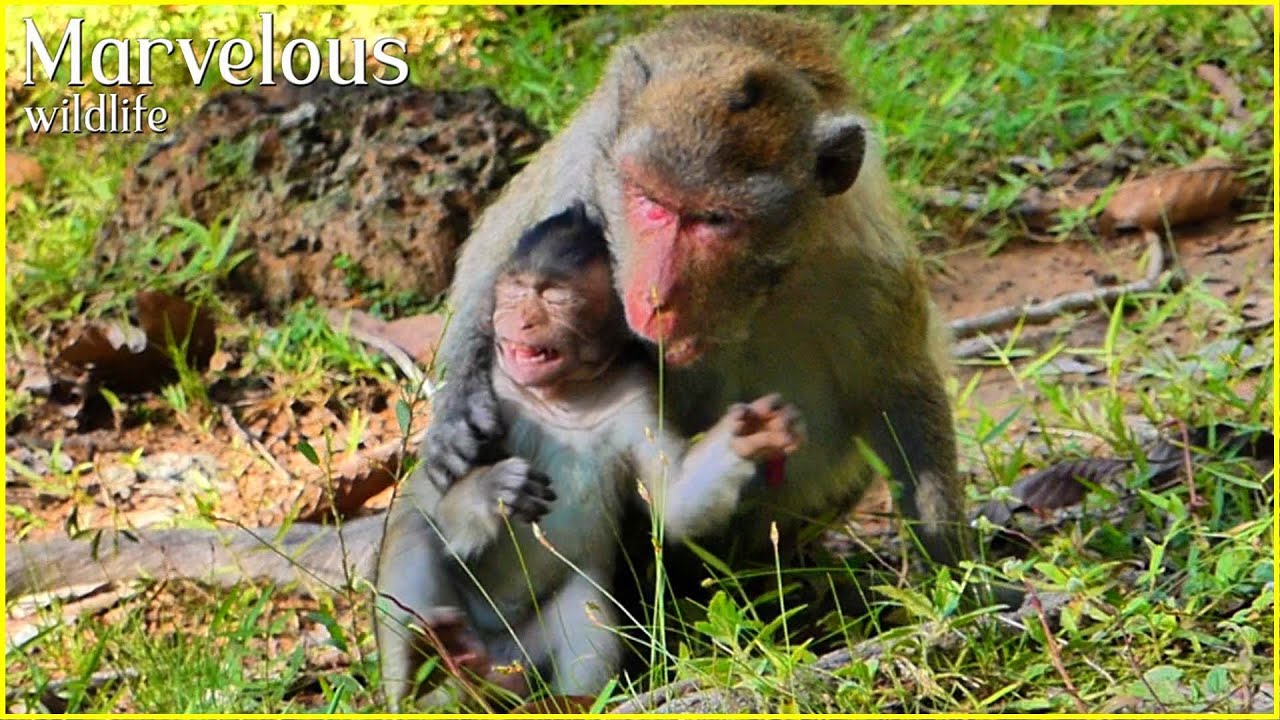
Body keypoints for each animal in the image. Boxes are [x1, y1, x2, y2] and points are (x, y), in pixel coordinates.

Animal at [375, 204, 805, 707]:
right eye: (515, 292)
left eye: (554, 298)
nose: (520, 320)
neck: (563, 397)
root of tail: (499, 656)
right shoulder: (491, 395)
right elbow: (437, 498)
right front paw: (491, 490)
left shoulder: (636, 396)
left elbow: (673, 502)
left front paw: (750, 437)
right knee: (414, 536)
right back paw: (433, 668)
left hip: (529, 646)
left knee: (585, 605)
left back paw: (534, 688)